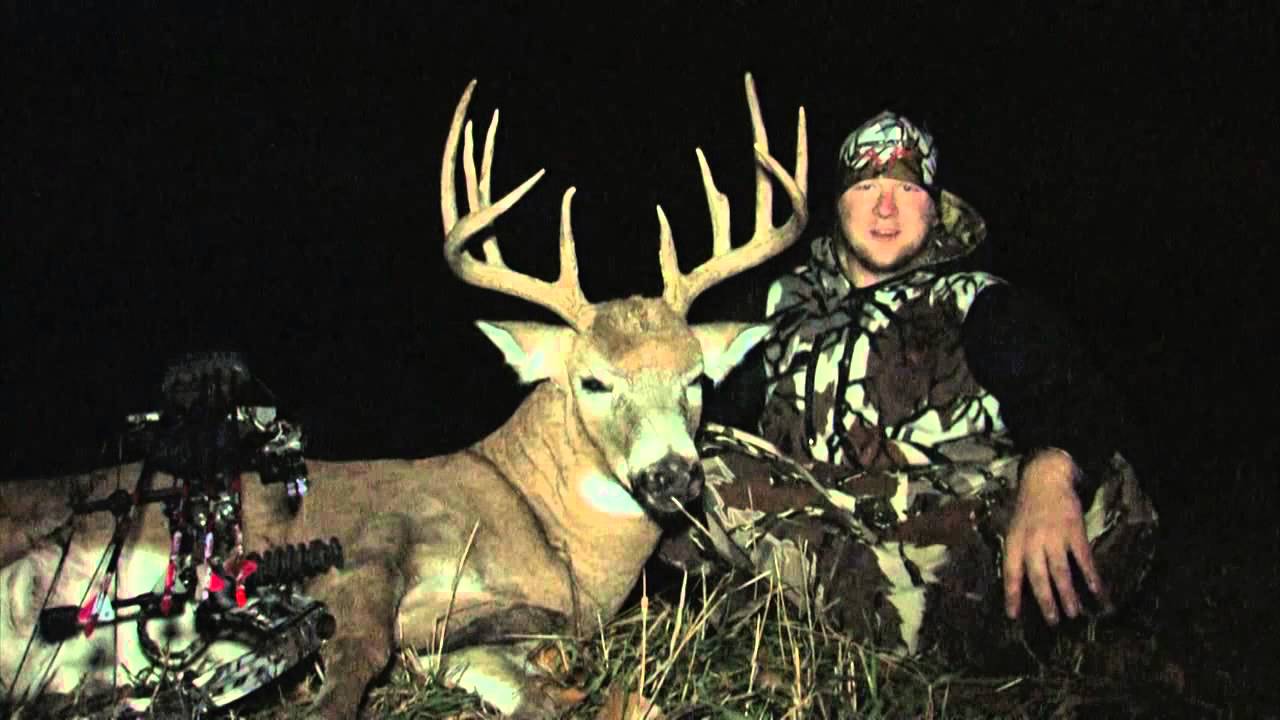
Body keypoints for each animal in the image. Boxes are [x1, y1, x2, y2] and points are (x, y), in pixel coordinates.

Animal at [0, 73, 807, 719]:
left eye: (696, 377)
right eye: (594, 380)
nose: (673, 473)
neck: (545, 529)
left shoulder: (472, 647)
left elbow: (529, 689)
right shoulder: (383, 531)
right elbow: (358, 654)